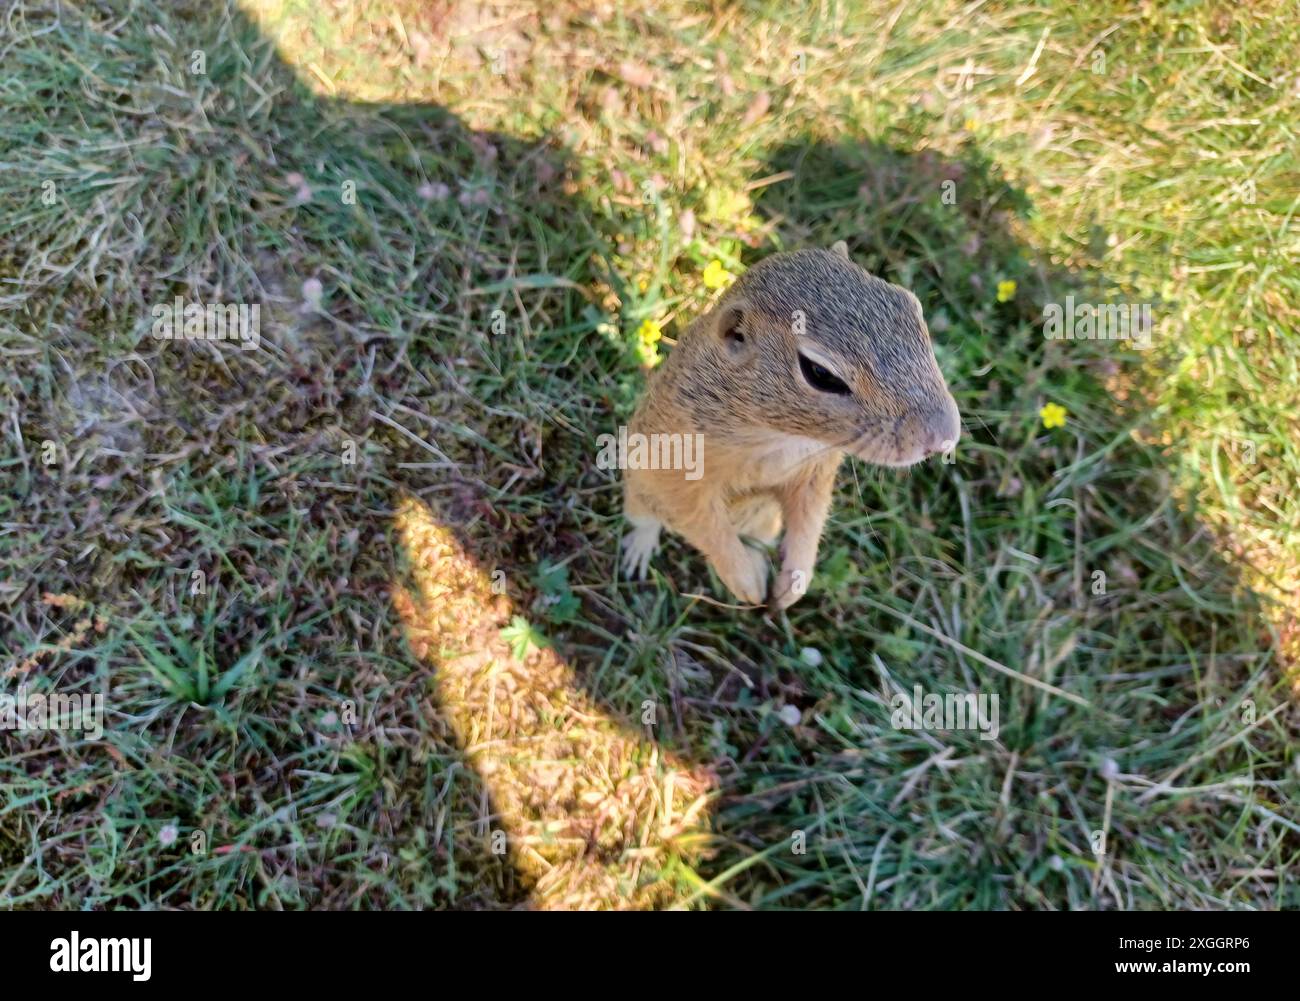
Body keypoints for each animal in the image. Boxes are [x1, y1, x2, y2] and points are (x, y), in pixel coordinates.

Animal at [620, 242, 960, 612]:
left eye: (911, 306)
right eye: (820, 373)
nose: (945, 437)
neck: (783, 435)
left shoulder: (817, 471)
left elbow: (809, 518)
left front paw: (794, 583)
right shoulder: (677, 468)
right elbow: (705, 524)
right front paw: (744, 580)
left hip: (767, 521)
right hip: (638, 497)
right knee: (649, 521)